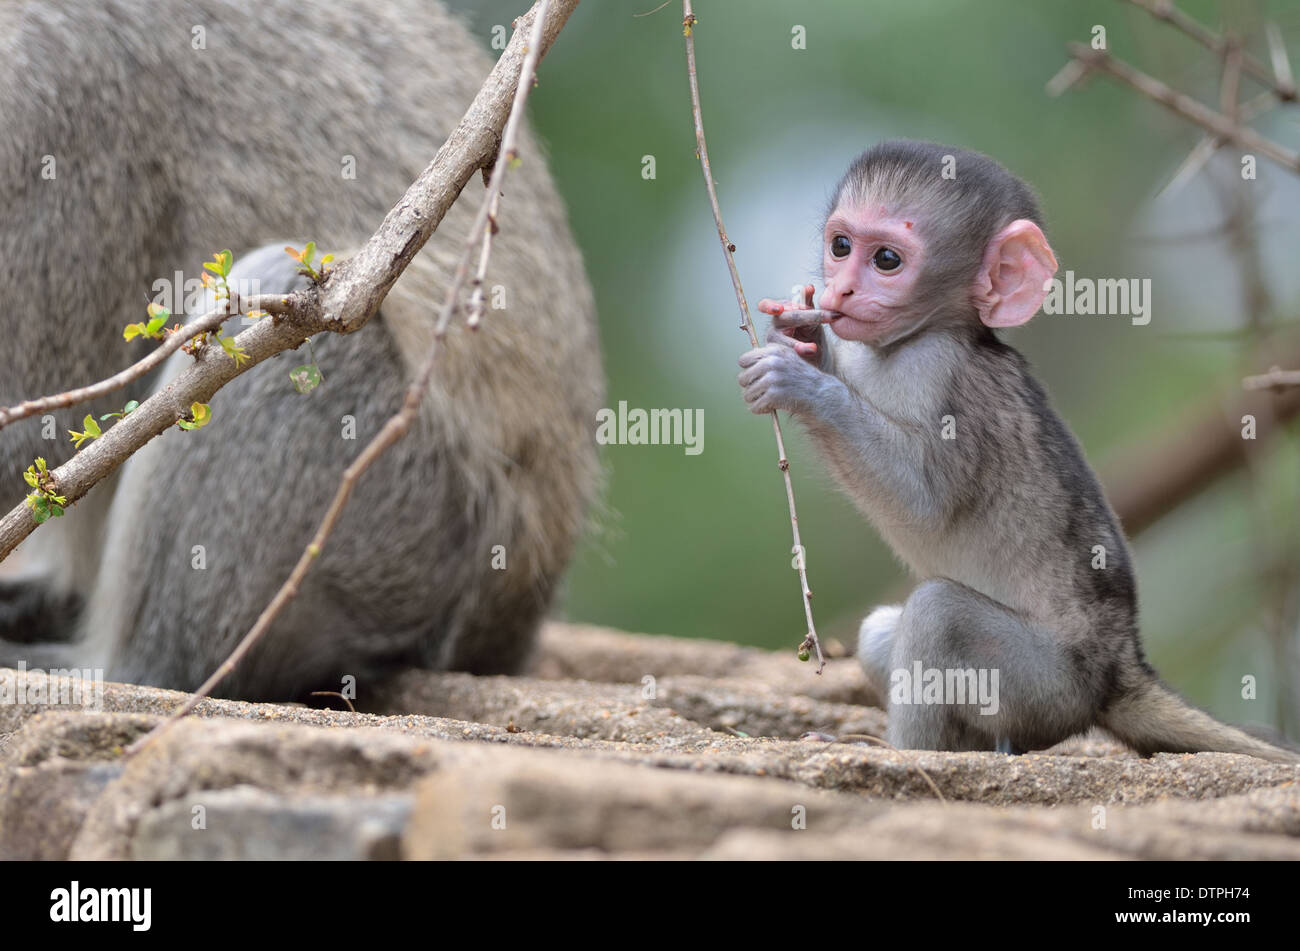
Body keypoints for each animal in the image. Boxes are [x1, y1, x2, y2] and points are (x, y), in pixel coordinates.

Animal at [738, 140, 1299, 763]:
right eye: (840, 246)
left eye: (886, 259)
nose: (840, 293)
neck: (921, 335)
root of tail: (1119, 668)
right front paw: (804, 338)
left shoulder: (938, 374)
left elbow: (921, 504)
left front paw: (797, 380)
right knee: (885, 631)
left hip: (1046, 686)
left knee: (938, 615)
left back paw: (907, 753)